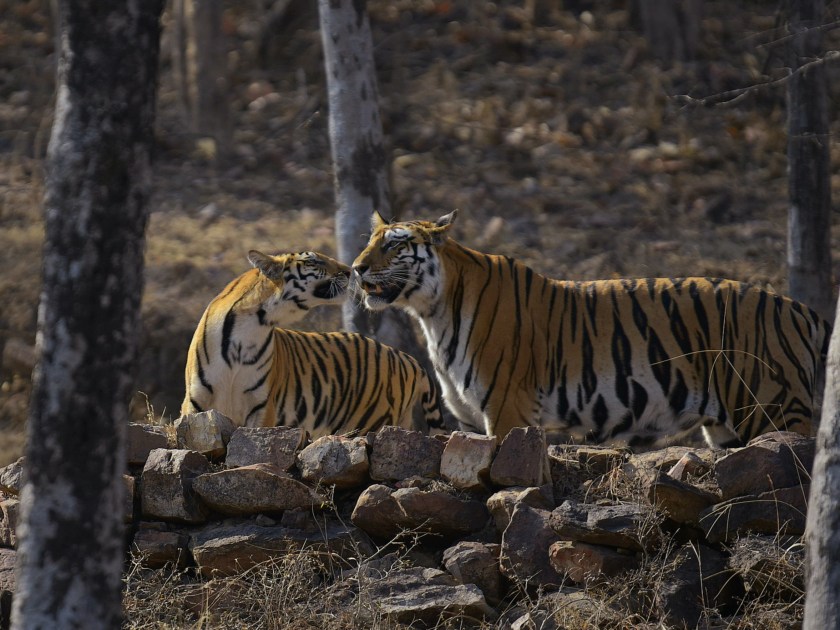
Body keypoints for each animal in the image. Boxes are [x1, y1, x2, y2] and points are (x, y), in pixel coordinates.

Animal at [181, 249, 443, 437]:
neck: (252, 328)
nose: (350, 270)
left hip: (369, 421)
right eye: (314, 261)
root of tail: (407, 358)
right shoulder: (196, 403)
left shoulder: (262, 407)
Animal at [351, 210, 831, 448]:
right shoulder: (470, 419)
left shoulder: (507, 411)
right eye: (369, 242)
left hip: (774, 410)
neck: (432, 312)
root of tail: (798, 308)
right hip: (729, 429)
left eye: (393, 245)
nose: (356, 268)